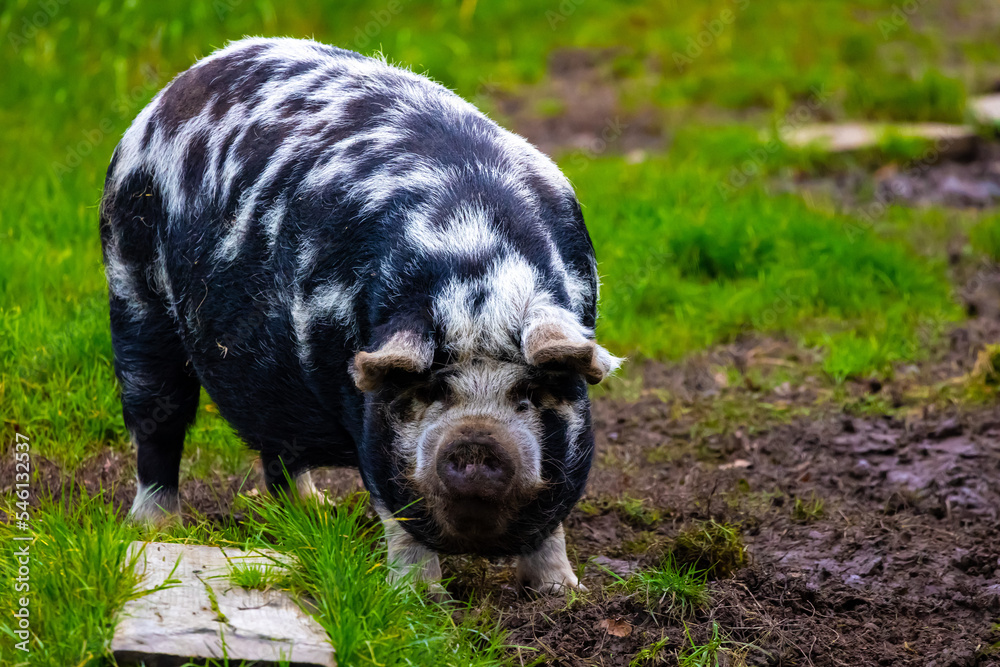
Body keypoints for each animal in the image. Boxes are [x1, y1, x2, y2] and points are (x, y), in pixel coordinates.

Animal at [100, 37, 621, 593]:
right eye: (431, 391)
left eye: (526, 396)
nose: (475, 443)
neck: (477, 273)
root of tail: (169, 94)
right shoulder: (364, 410)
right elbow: (397, 514)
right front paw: (422, 598)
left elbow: (551, 527)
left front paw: (563, 594)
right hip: (132, 291)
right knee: (157, 420)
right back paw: (158, 529)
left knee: (279, 447)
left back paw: (317, 512)